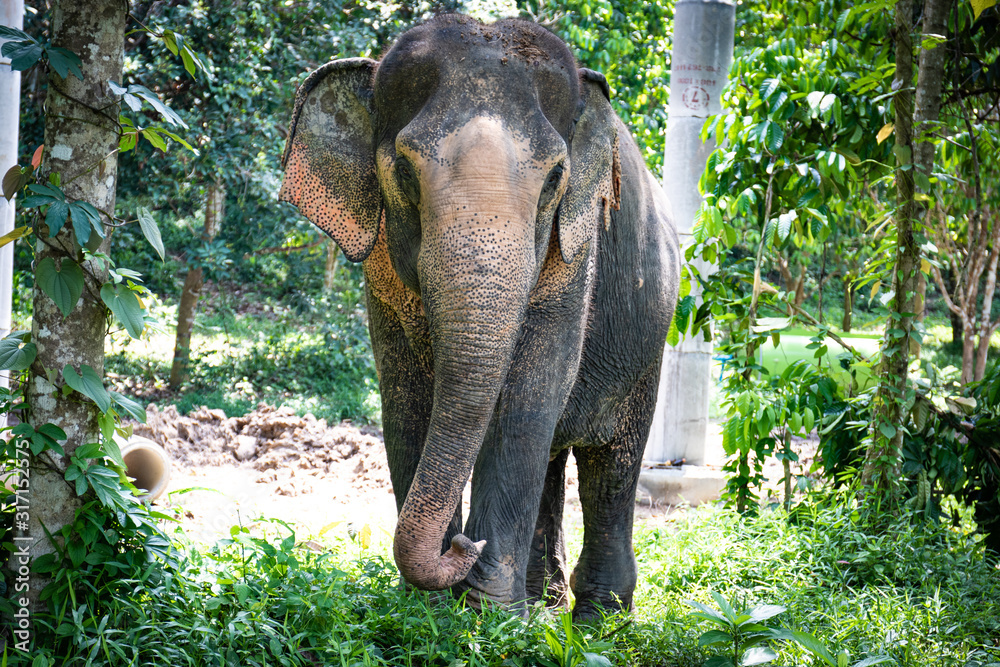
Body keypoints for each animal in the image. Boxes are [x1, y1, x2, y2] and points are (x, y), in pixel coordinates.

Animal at [279, 14, 679, 620]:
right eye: (404, 170)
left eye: (555, 178)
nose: (465, 544)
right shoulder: (381, 277)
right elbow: (406, 398)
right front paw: (426, 611)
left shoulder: (575, 256)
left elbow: (529, 396)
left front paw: (490, 614)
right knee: (555, 459)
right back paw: (545, 602)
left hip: (647, 340)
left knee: (609, 464)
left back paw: (598, 619)